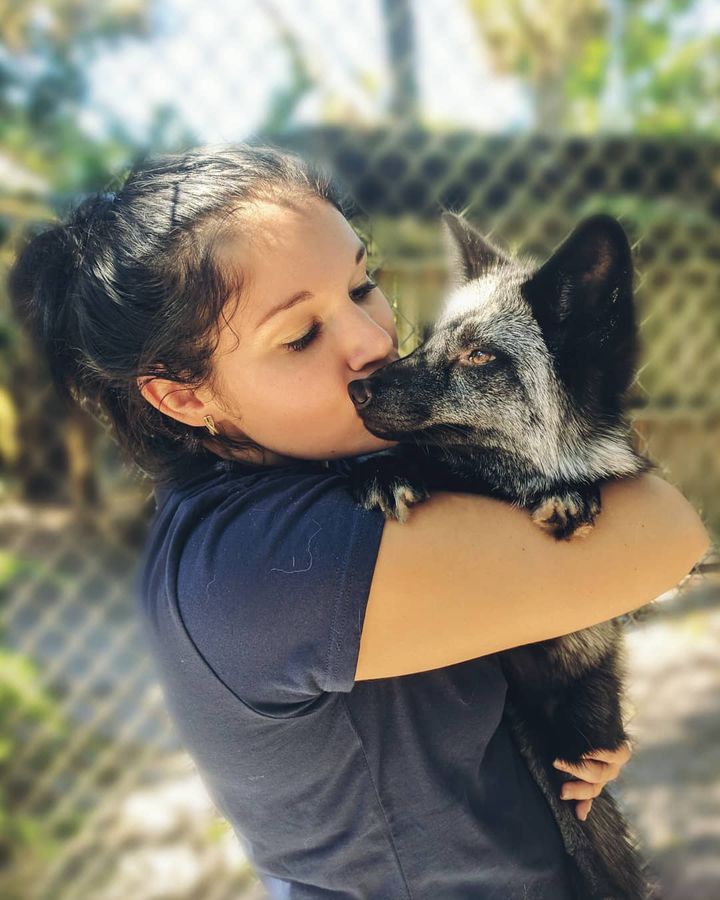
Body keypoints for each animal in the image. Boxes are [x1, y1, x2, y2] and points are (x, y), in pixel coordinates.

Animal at [347, 212, 655, 900]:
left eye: (480, 356)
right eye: (429, 340)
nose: (355, 387)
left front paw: (571, 496)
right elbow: (429, 456)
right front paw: (390, 469)